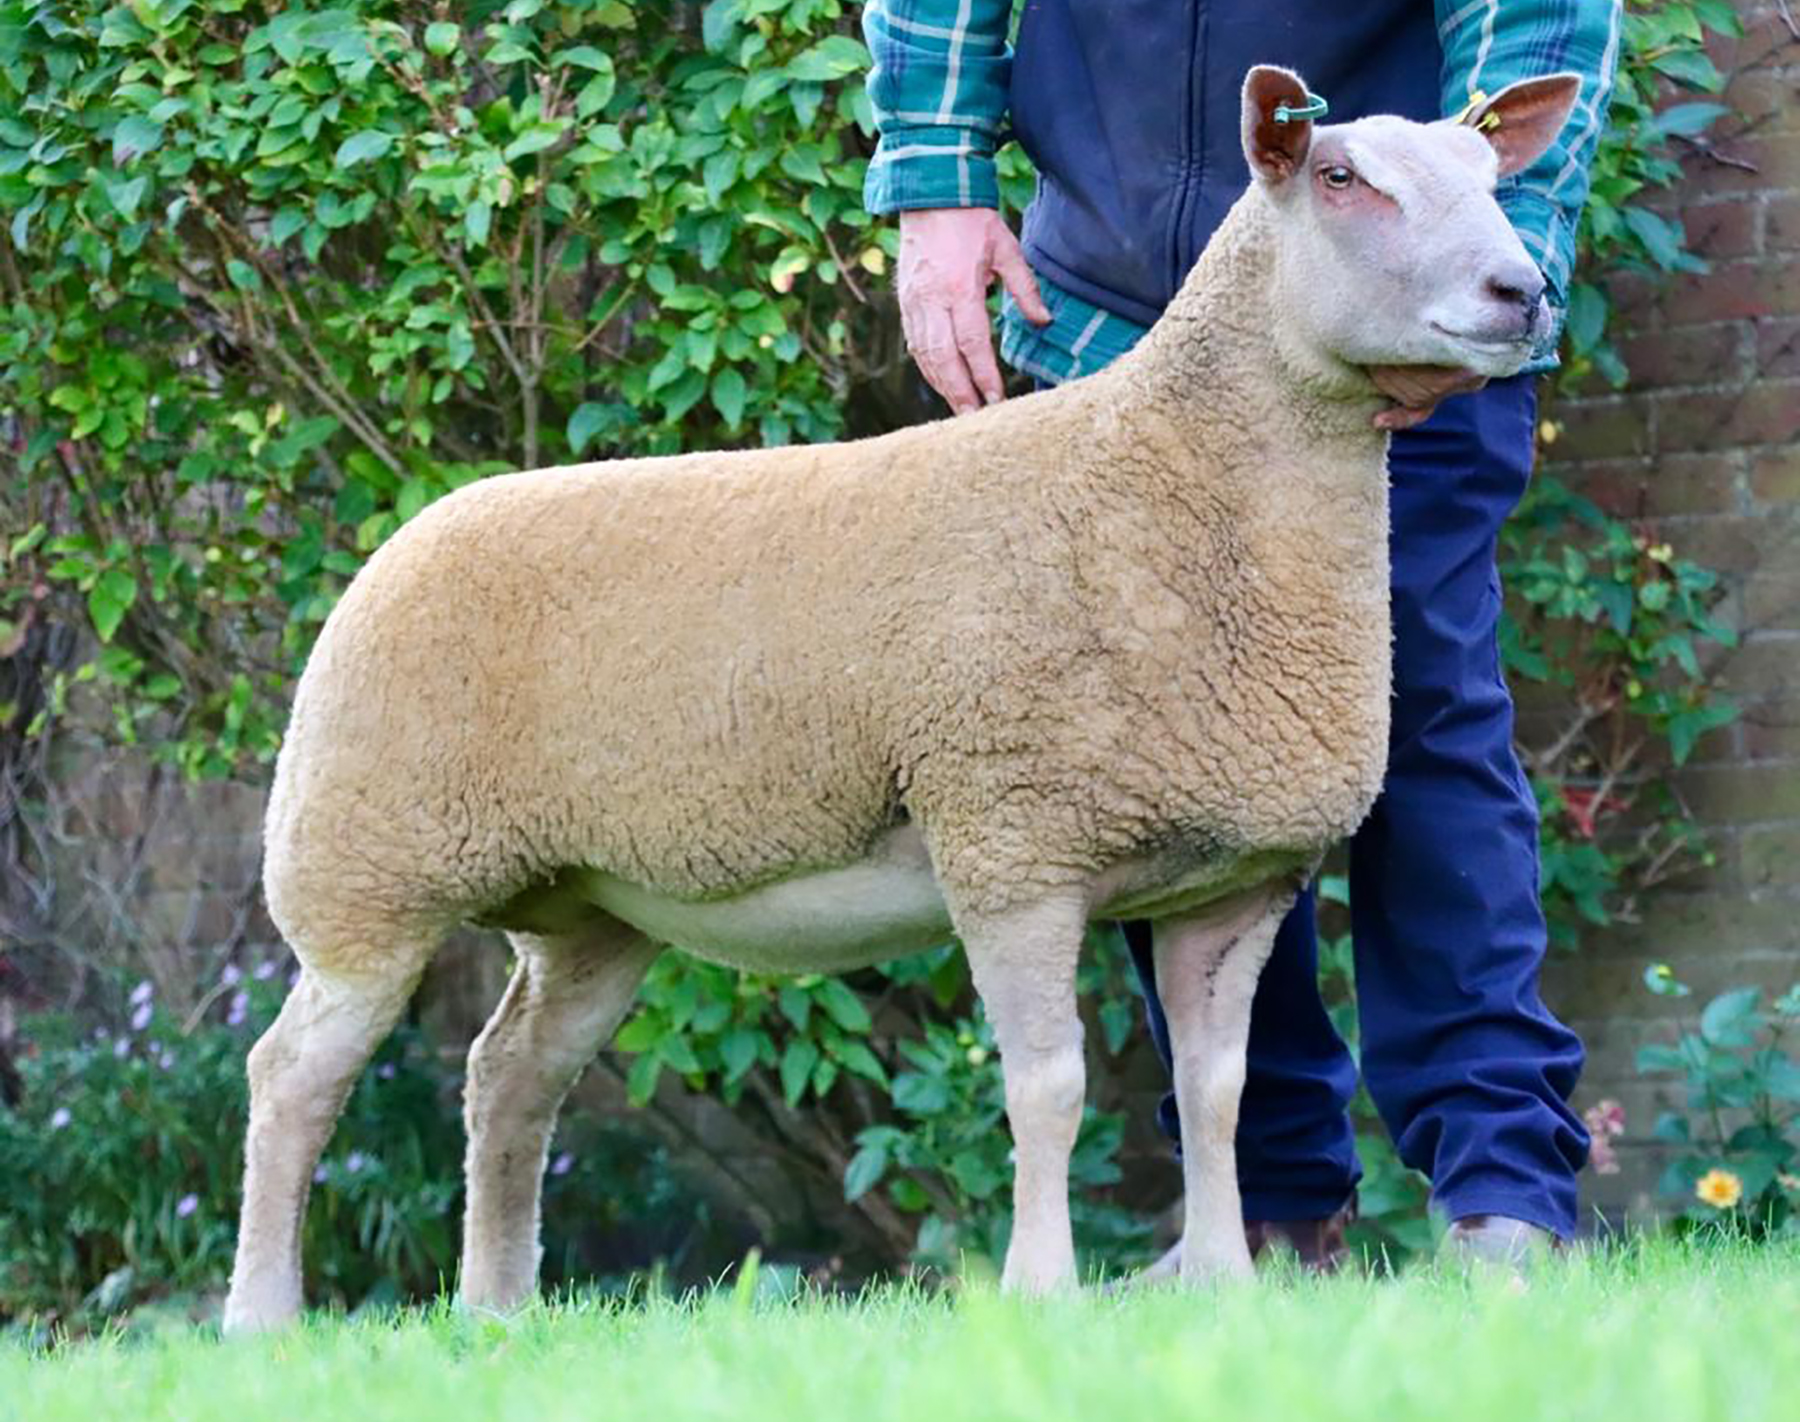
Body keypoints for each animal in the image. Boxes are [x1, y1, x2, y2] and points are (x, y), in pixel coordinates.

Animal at [221, 65, 1583, 1332]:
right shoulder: (1011, 840)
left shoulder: (1235, 880)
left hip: (587, 905)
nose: (1523, 294)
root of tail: (413, 532)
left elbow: (1217, 1092)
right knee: (290, 1077)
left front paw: (1226, 1286)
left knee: (507, 1076)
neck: (1168, 484)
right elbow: (1049, 1086)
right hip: (364, 870)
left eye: (1493, 174)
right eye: (1343, 178)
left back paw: (499, 1310)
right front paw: (1042, 1291)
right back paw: (263, 1317)